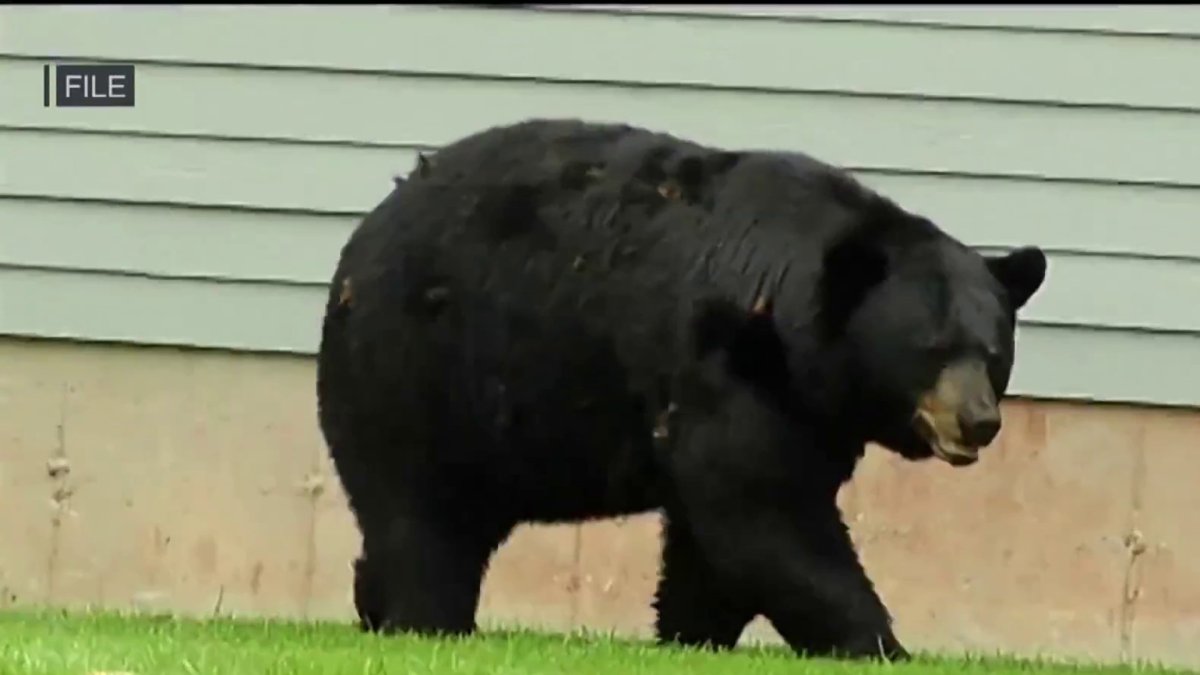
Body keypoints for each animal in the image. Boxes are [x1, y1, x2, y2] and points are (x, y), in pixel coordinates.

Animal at [315, 118, 1048, 661]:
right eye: (931, 349)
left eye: (992, 353)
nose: (977, 420)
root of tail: (361, 236)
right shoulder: (726, 365)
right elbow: (767, 515)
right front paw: (879, 642)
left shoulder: (803, 407)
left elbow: (716, 538)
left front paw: (691, 633)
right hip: (417, 369)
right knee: (421, 513)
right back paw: (427, 620)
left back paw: (373, 605)